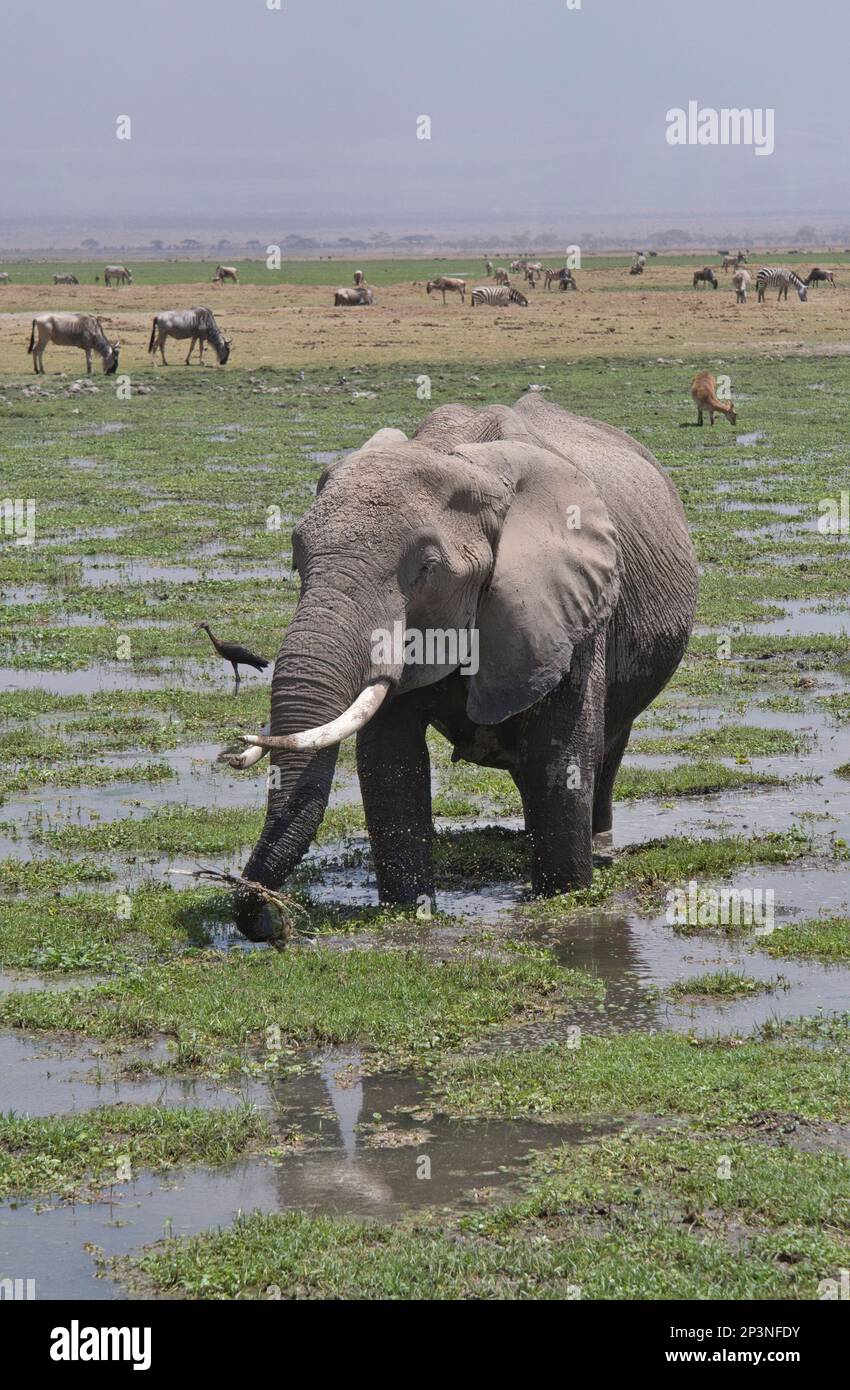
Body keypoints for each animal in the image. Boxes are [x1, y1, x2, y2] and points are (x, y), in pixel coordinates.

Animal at [227, 393, 699, 942]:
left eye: (427, 569)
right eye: (298, 562)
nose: (268, 919)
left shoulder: (574, 605)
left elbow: (558, 755)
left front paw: (565, 902)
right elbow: (390, 762)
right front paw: (411, 911)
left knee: (606, 746)